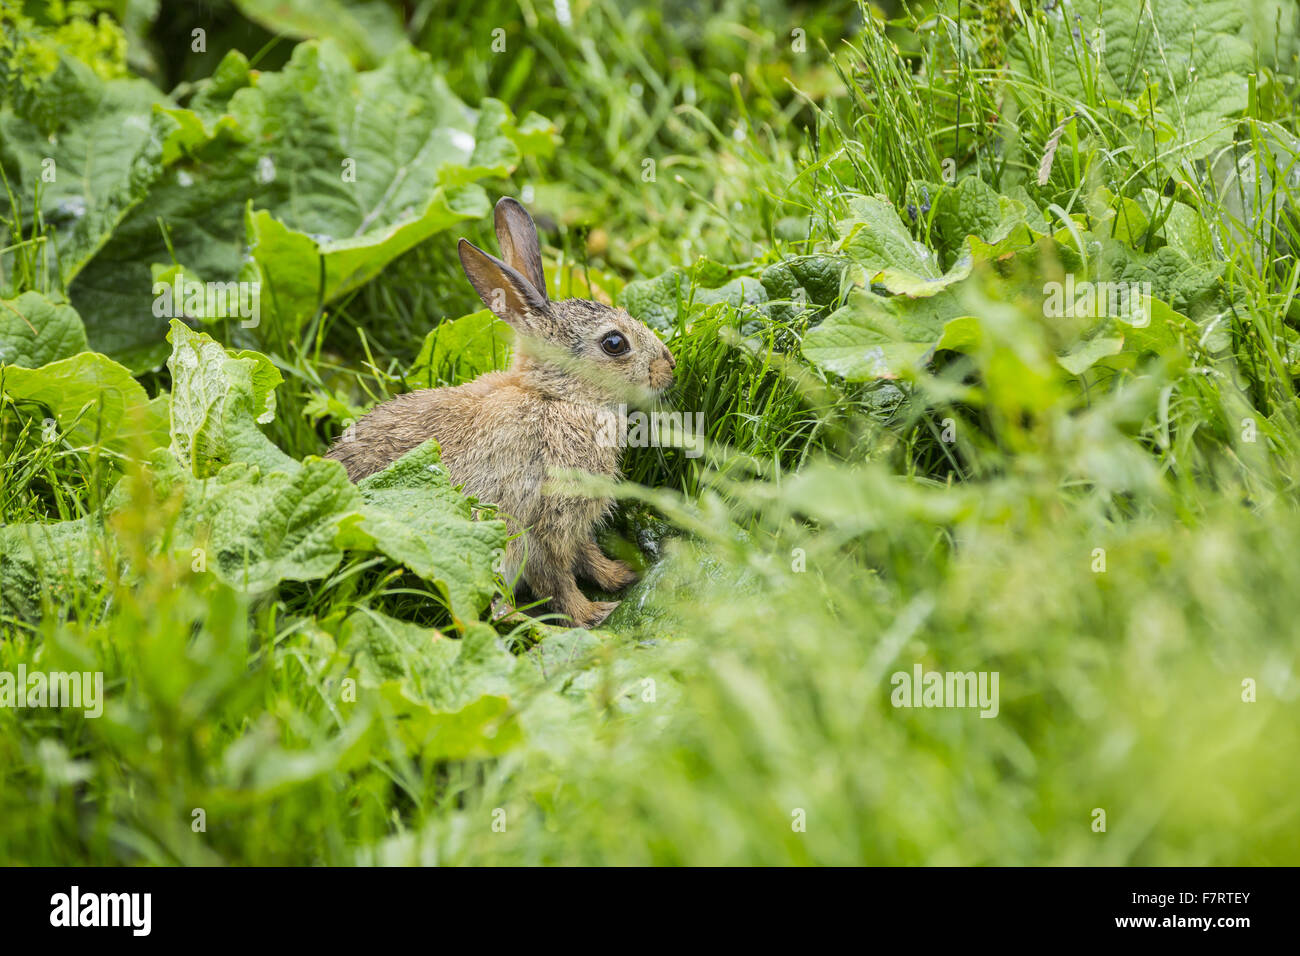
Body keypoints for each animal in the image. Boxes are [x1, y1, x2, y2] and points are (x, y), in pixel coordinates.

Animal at [326, 197, 676, 628]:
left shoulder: (574, 524)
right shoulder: (540, 517)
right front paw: (592, 614)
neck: (555, 398)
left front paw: (622, 576)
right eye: (615, 343)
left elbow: (587, 554)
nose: (669, 367)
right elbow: (556, 578)